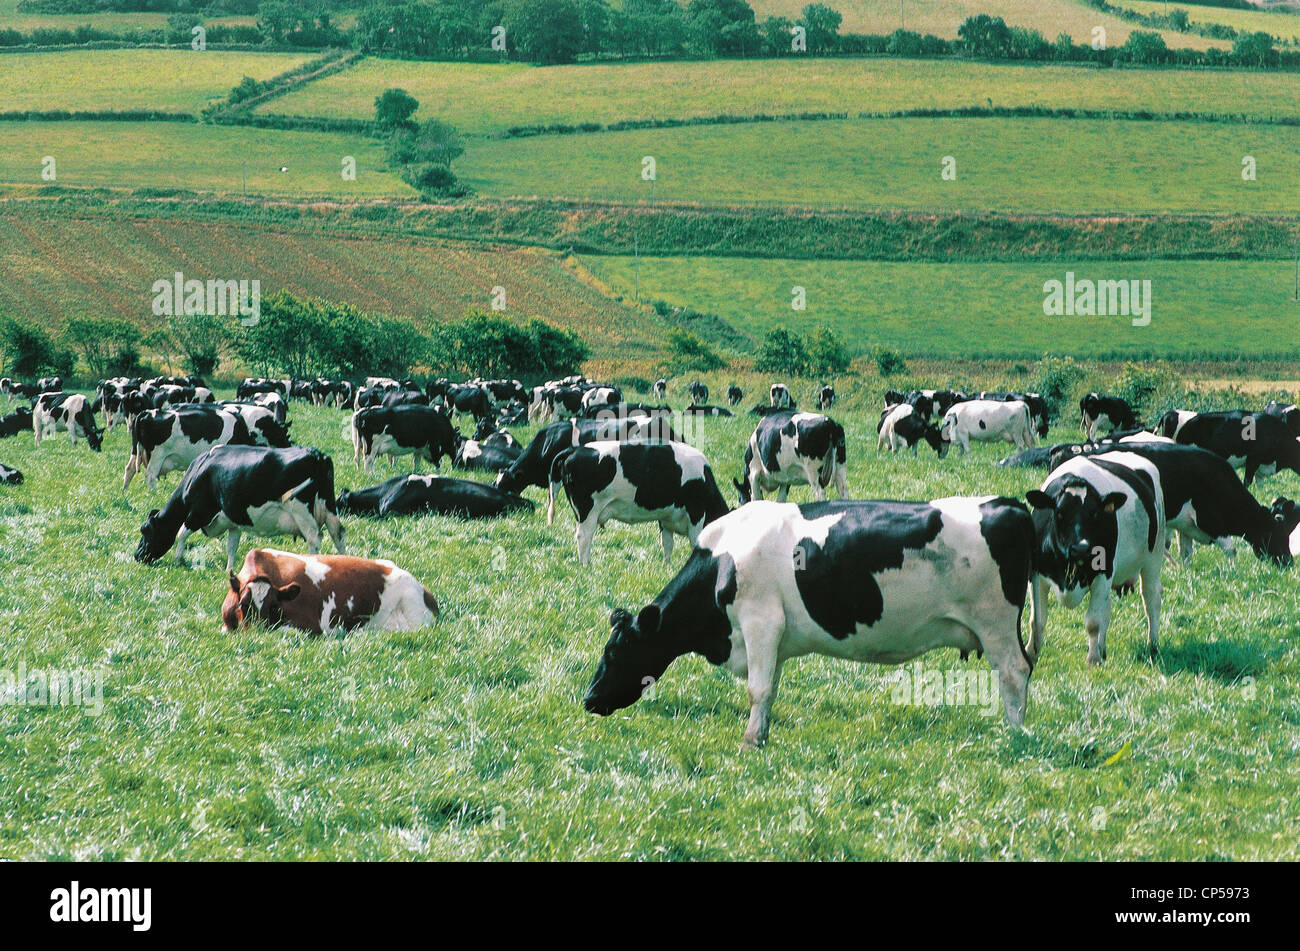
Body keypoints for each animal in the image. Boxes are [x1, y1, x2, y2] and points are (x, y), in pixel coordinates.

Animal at [123, 406, 253, 491]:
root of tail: (148, 412)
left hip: (136, 451)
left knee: (129, 469)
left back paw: (125, 491)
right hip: (157, 455)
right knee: (150, 475)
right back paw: (154, 494)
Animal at [135, 446, 345, 570]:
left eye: (145, 530)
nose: (137, 556)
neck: (198, 473)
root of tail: (317, 454)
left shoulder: (199, 512)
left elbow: (181, 533)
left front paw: (179, 560)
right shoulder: (233, 521)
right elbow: (231, 546)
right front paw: (229, 569)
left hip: (301, 510)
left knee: (314, 537)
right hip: (329, 508)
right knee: (338, 534)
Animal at [548, 440, 729, 565]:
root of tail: (576, 448)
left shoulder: (665, 518)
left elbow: (667, 544)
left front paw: (667, 566)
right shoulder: (696, 513)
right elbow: (695, 543)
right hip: (588, 510)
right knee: (584, 536)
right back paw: (586, 566)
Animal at [583, 496, 1037, 748]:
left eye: (616, 650)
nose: (588, 699)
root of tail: (1006, 503)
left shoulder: (760, 620)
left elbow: (757, 688)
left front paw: (749, 742)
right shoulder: (776, 636)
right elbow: (770, 688)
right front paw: (762, 735)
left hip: (995, 622)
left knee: (1013, 672)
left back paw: (1013, 736)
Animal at [1026, 451, 1167, 666]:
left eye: (1094, 513)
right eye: (1059, 513)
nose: (1080, 549)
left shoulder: (1103, 573)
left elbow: (1093, 622)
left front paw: (1092, 660)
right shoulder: (1035, 576)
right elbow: (1037, 620)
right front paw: (1031, 655)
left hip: (1154, 555)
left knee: (1151, 599)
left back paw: (1152, 645)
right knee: (1107, 609)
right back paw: (1103, 648)